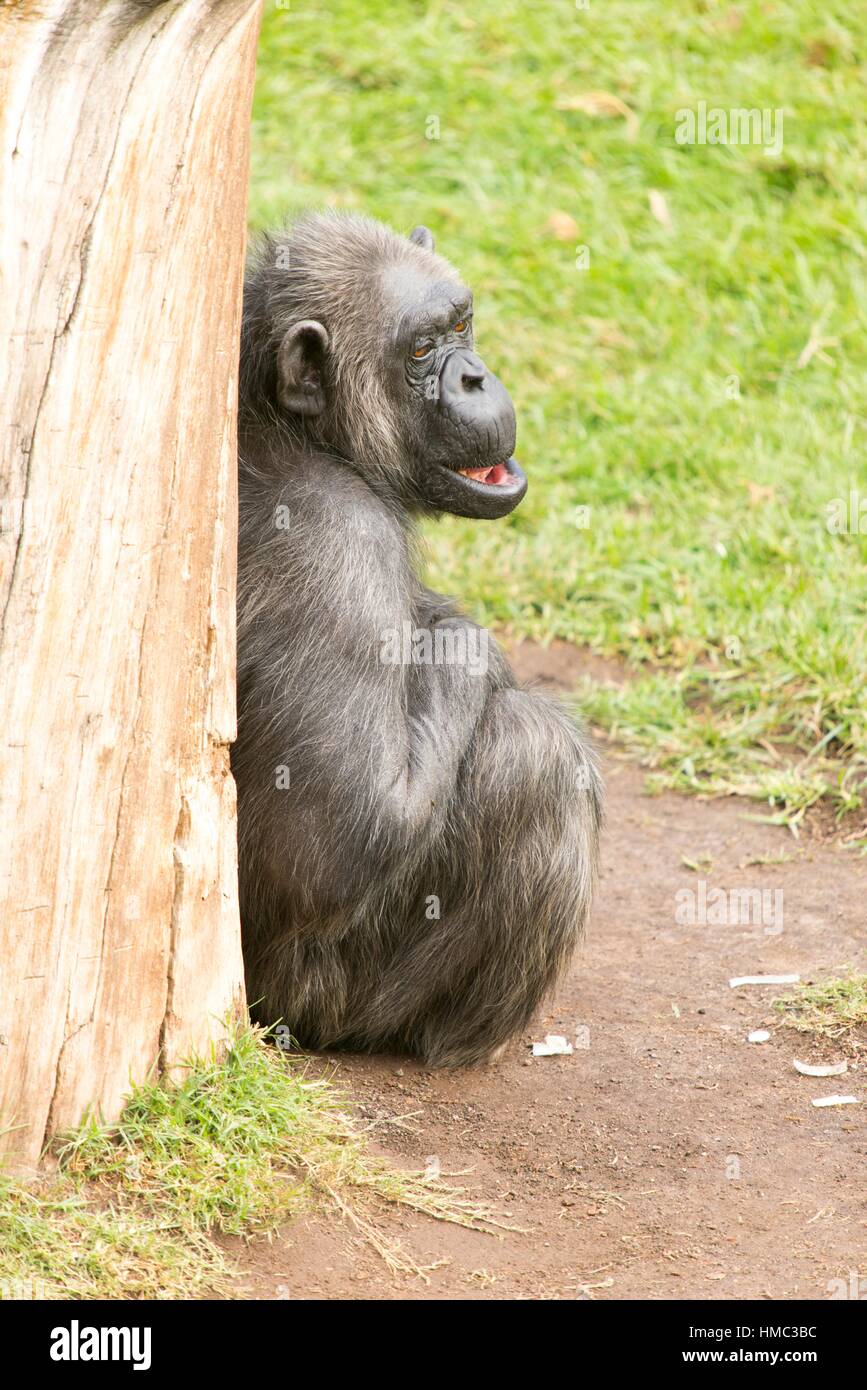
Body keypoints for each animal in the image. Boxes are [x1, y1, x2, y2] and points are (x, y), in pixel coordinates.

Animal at [232, 213, 602, 1067]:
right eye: (420, 352)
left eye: (460, 325)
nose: (472, 377)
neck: (306, 435)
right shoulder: (339, 548)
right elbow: (338, 838)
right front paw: (467, 643)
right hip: (320, 1001)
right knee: (534, 756)